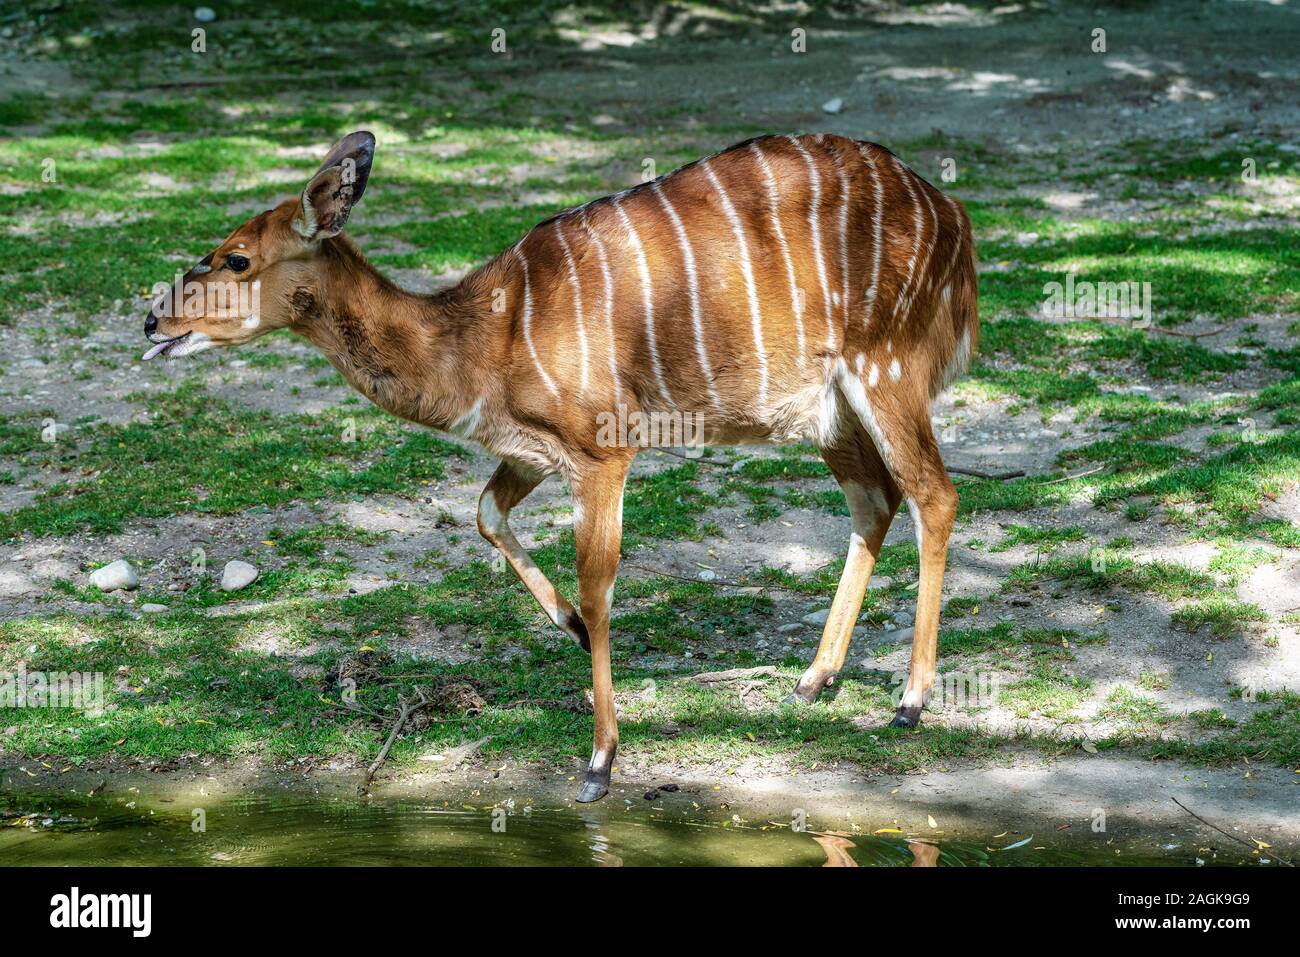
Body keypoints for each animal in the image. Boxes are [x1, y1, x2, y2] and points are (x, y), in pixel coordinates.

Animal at [143, 130, 978, 802]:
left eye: (237, 257)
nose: (153, 318)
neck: (488, 337)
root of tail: (955, 220)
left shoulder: (604, 448)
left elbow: (601, 586)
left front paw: (600, 762)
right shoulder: (535, 450)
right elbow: (488, 513)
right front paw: (569, 627)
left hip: (886, 366)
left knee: (933, 493)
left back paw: (909, 700)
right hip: (825, 409)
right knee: (875, 501)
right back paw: (814, 679)